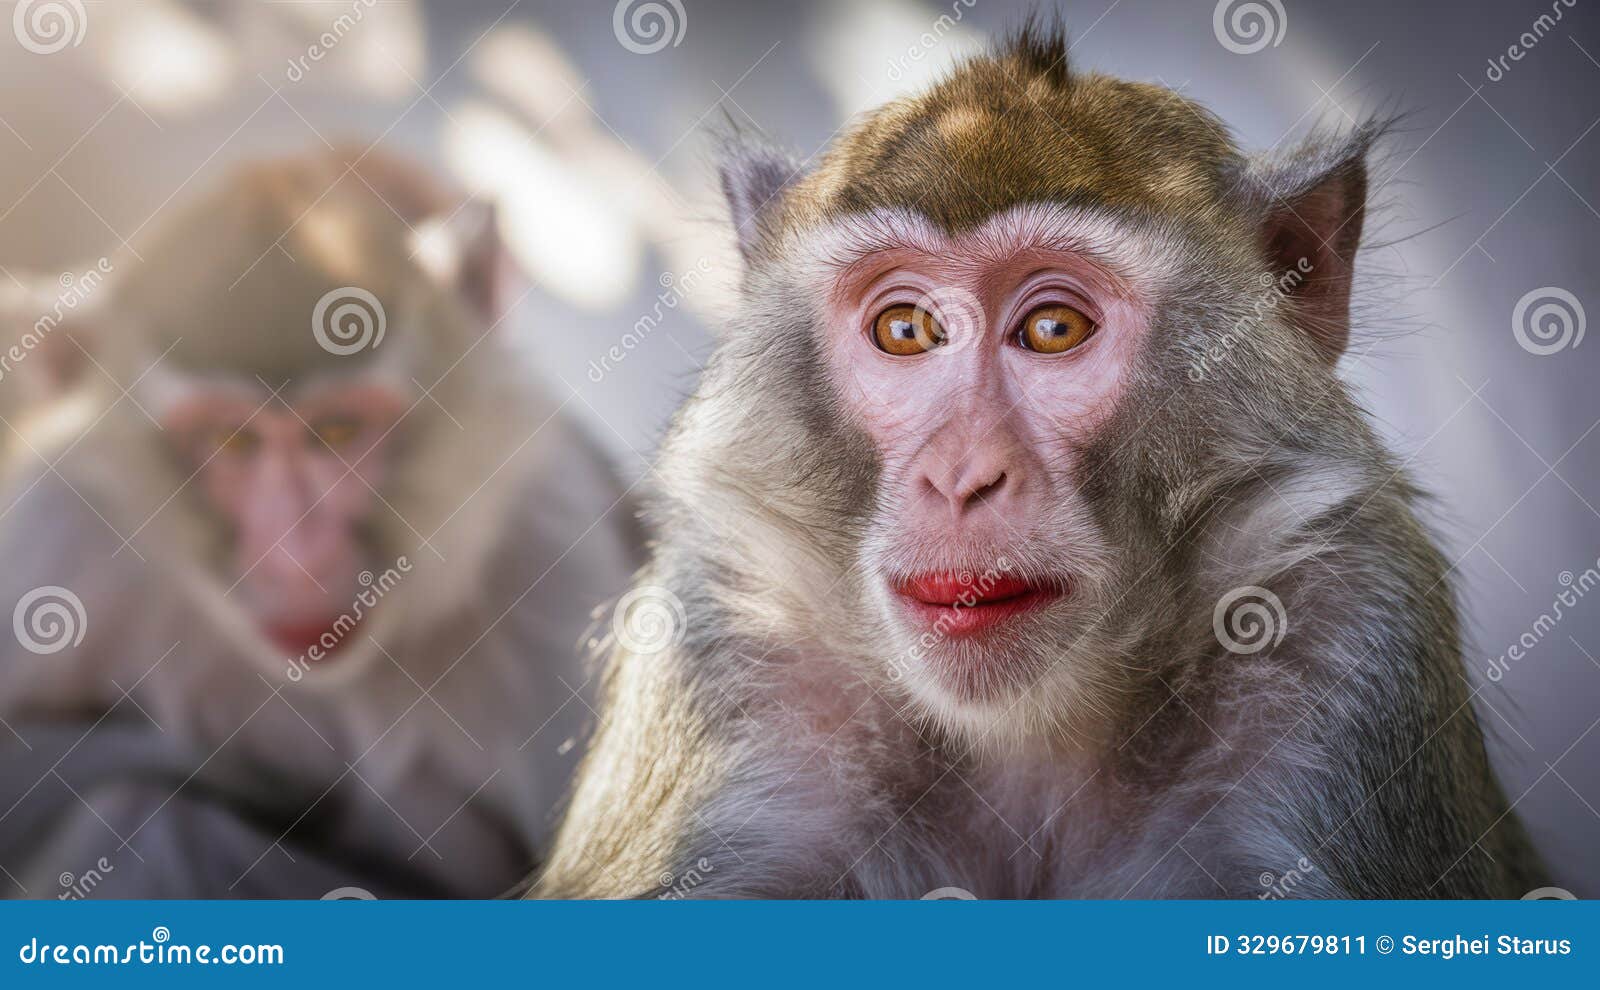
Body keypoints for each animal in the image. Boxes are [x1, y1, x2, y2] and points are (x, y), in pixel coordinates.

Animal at [536, 25, 1545, 900]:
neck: (1025, 737)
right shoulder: (724, 657)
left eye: (1053, 329)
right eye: (907, 330)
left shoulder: (1349, 632)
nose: (961, 477)